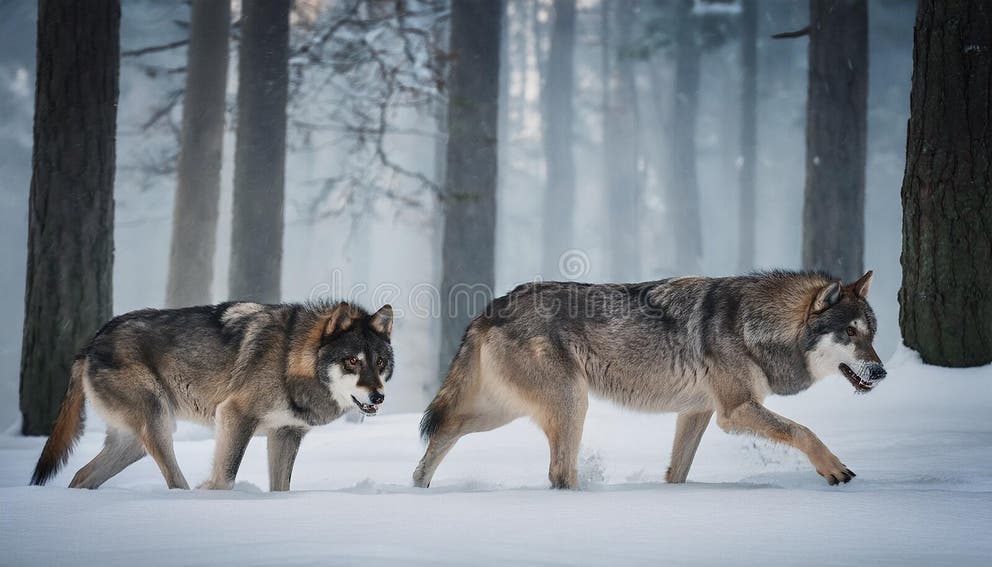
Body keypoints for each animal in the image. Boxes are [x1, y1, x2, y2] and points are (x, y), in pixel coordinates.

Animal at [30, 300, 394, 491]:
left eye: (379, 363)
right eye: (352, 361)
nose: (378, 397)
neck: (289, 359)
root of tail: (91, 343)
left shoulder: (286, 434)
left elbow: (281, 487)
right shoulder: (235, 416)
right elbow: (225, 478)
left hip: (133, 444)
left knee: (81, 476)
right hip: (158, 426)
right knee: (174, 481)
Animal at [414, 270, 885, 489]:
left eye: (872, 334)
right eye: (849, 332)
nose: (880, 372)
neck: (756, 324)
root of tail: (492, 305)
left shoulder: (698, 413)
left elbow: (677, 472)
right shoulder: (734, 411)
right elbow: (804, 431)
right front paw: (834, 468)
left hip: (503, 412)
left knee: (443, 430)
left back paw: (419, 489)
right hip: (570, 403)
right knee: (559, 472)